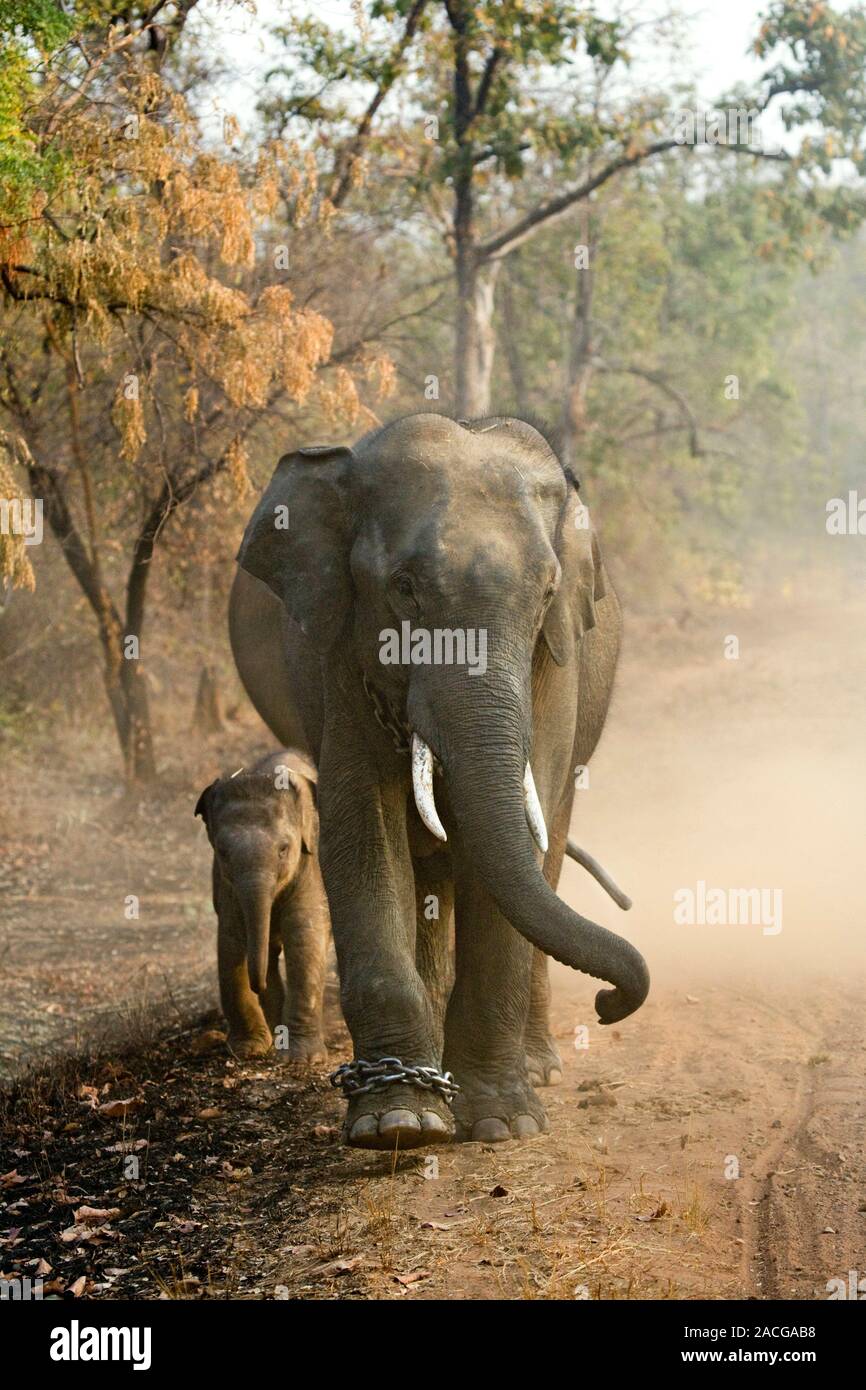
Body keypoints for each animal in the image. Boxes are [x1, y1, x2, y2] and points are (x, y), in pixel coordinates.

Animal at [195, 750, 330, 1062]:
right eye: (223, 852)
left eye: (283, 849)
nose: (259, 985)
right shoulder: (225, 885)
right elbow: (231, 942)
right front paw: (249, 1050)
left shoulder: (312, 864)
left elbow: (305, 936)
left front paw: (302, 1060)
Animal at [229, 412, 649, 1147]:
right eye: (403, 587)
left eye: (546, 593)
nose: (607, 1003)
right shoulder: (340, 653)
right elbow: (361, 826)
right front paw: (399, 1123)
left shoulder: (554, 663)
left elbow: (519, 836)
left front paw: (505, 1124)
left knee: (545, 849)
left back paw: (537, 1068)